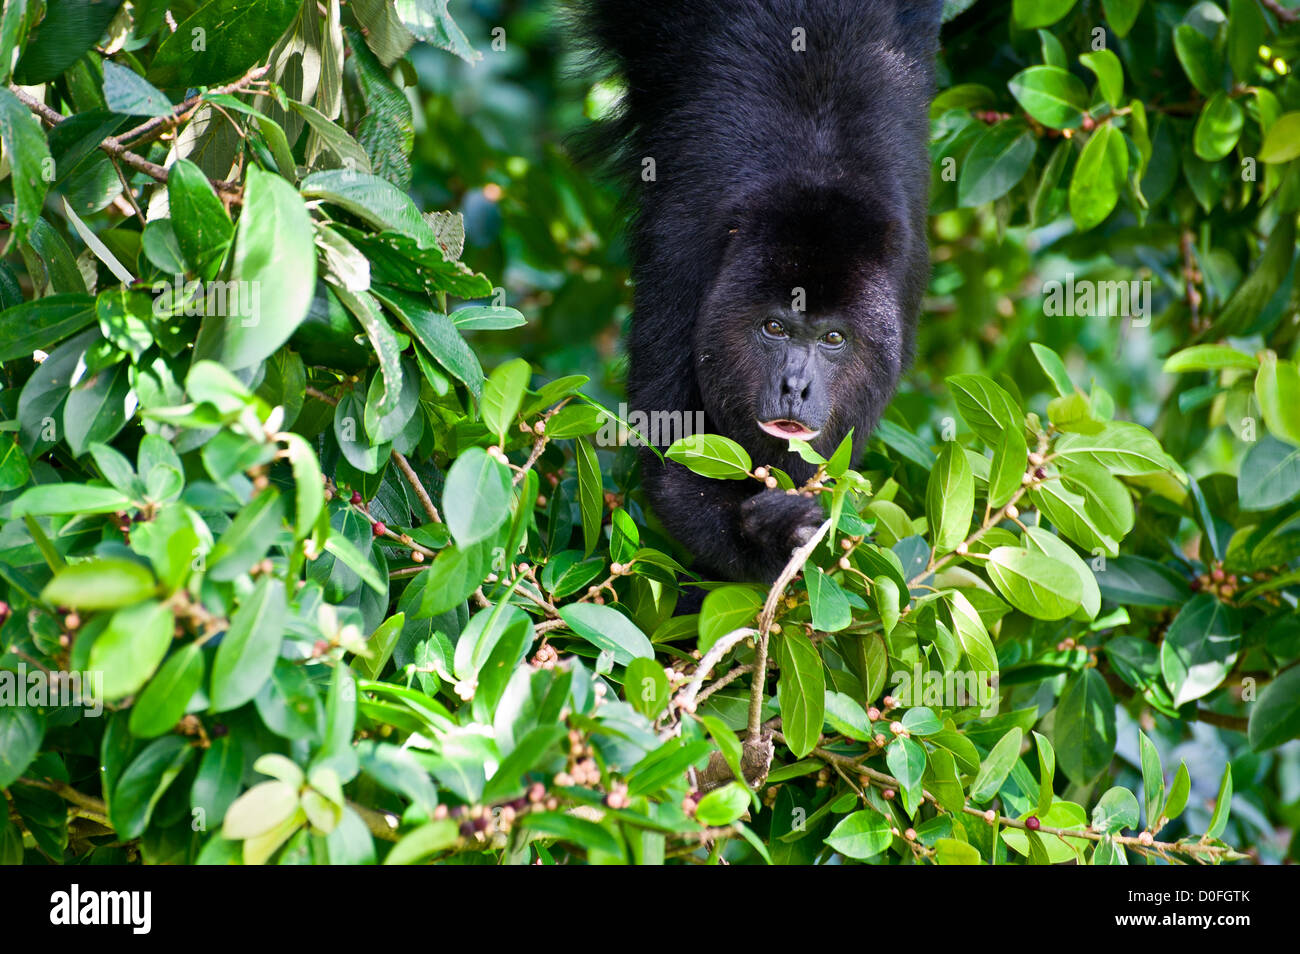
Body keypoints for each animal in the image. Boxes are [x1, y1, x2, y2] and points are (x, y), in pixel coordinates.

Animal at [579, 0, 942, 583]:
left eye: (833, 338)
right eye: (774, 327)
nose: (796, 386)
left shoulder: (905, 277)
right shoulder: (682, 258)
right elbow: (670, 451)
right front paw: (769, 532)